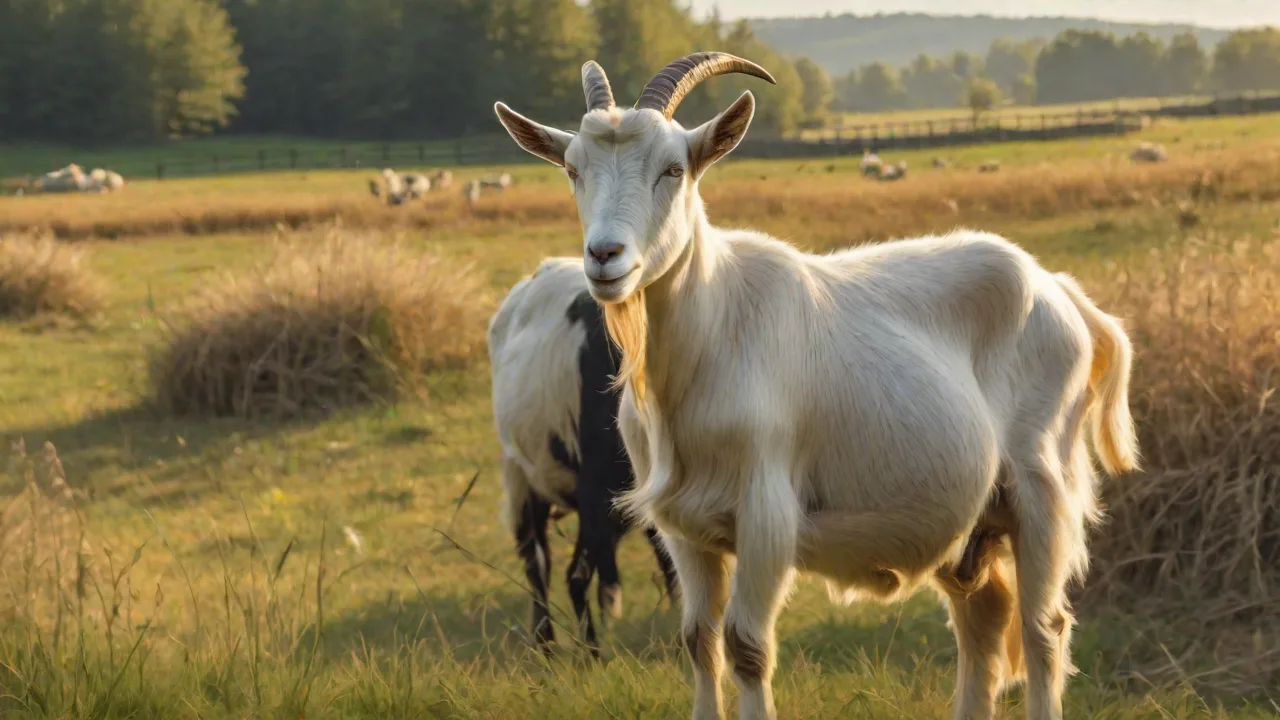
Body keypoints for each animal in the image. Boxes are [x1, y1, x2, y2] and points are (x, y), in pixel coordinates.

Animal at [489, 257, 679, 657]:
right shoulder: (597, 494)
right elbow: (576, 576)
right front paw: (593, 656)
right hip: (523, 479)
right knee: (538, 562)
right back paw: (546, 644)